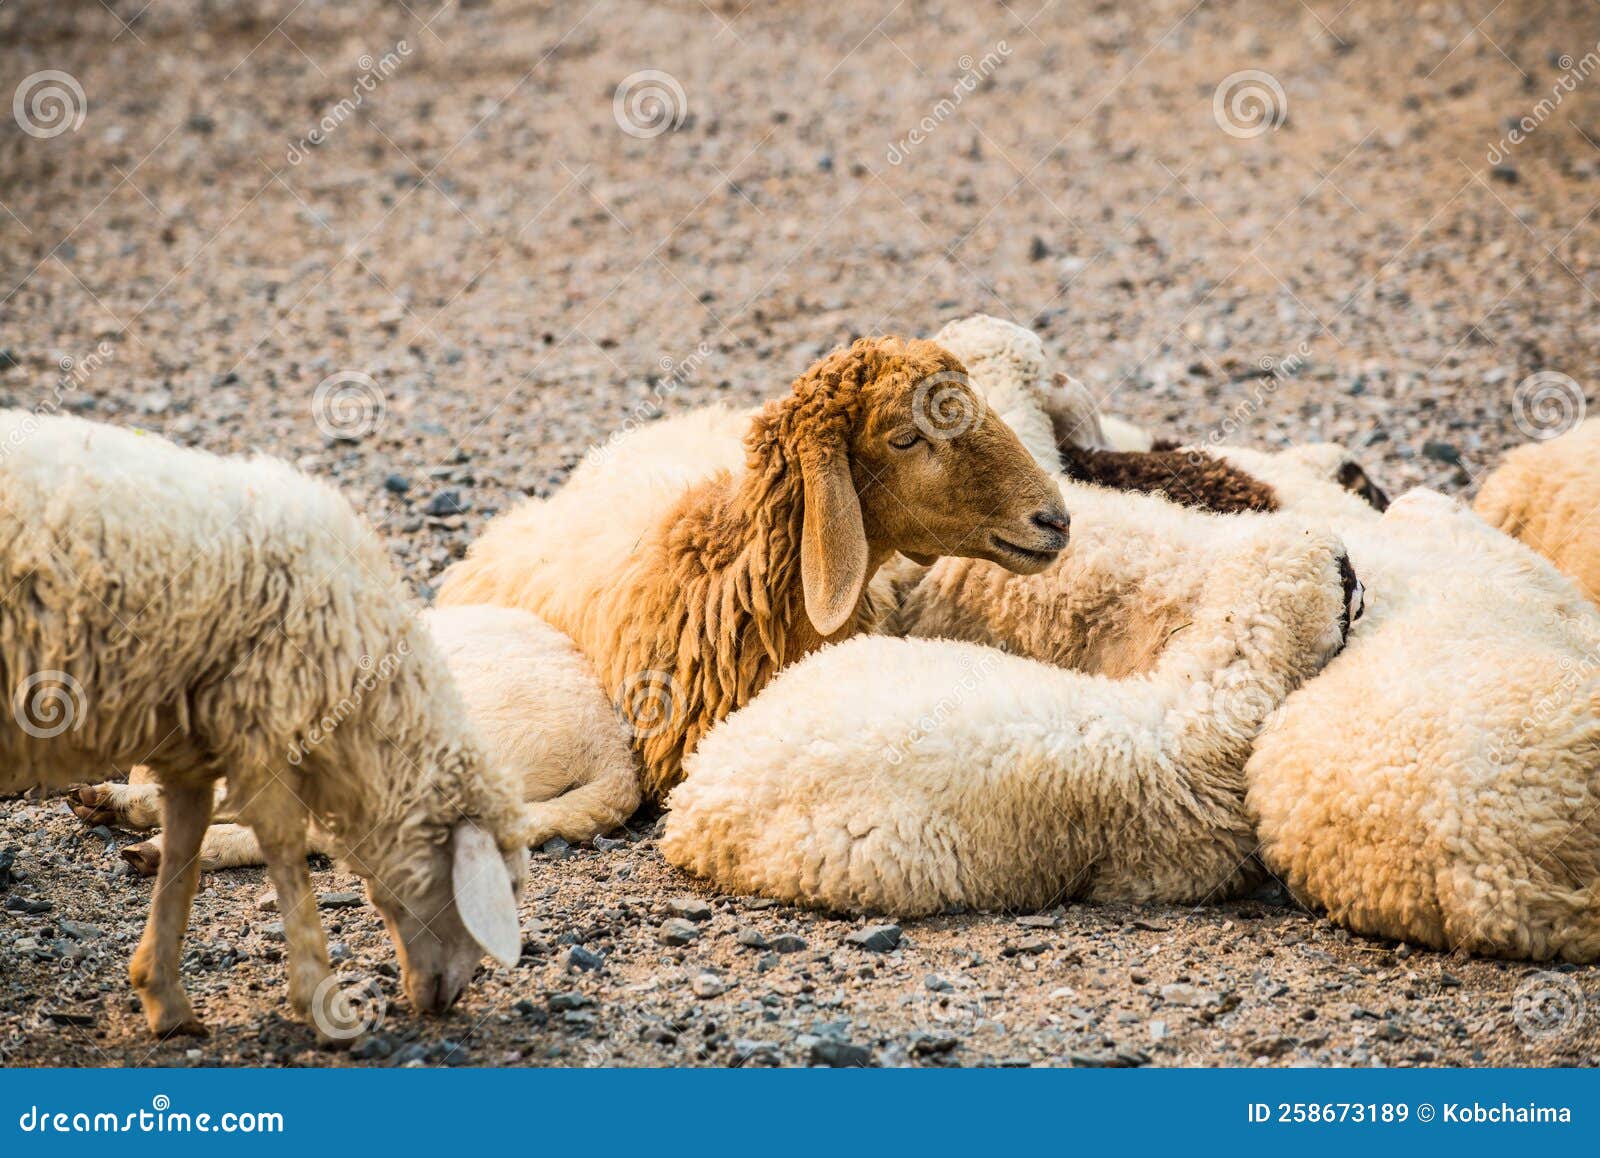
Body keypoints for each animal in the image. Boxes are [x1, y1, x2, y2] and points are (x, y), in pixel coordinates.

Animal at [0, 410, 528, 1039]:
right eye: (505, 889)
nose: (450, 1000)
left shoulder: (192, 744)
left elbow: (185, 854)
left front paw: (163, 995)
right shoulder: (263, 726)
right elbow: (285, 852)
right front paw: (322, 1000)